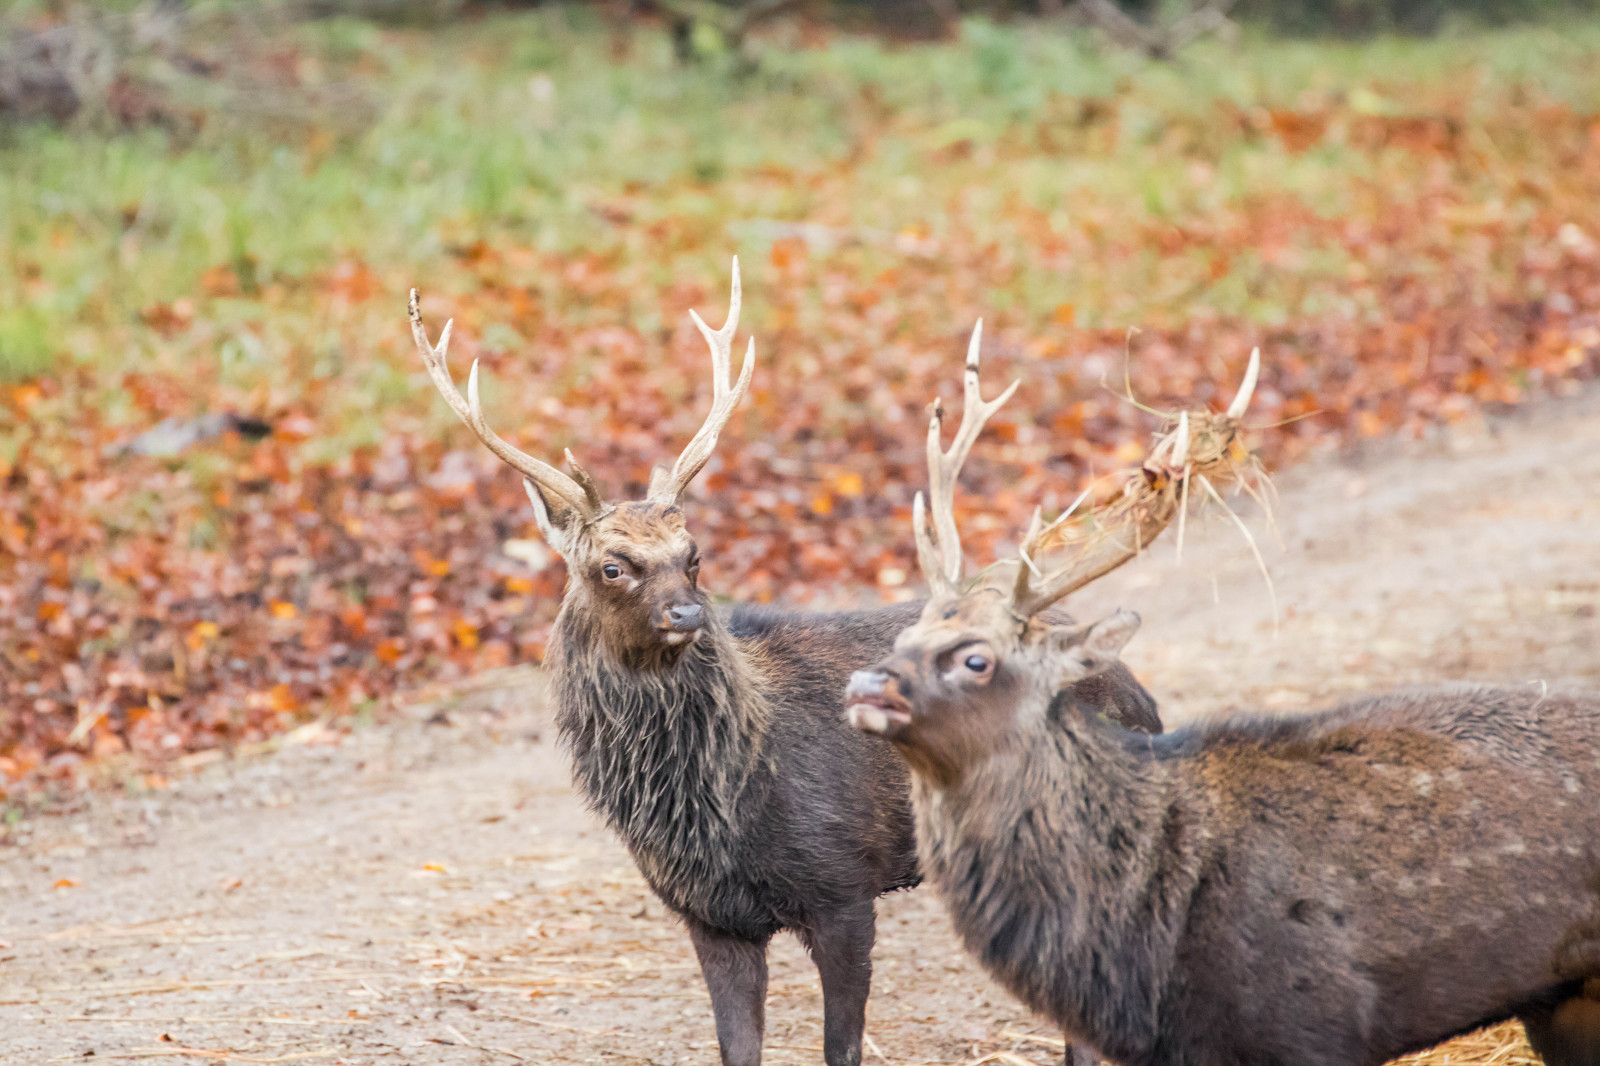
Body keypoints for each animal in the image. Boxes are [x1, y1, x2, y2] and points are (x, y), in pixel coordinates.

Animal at [407, 260, 1162, 1066]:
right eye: (611, 566)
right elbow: (737, 1049)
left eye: (693, 554)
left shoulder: (844, 889)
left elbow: (842, 1048)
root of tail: (1141, 696)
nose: (688, 613)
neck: (720, 806)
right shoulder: (711, 919)